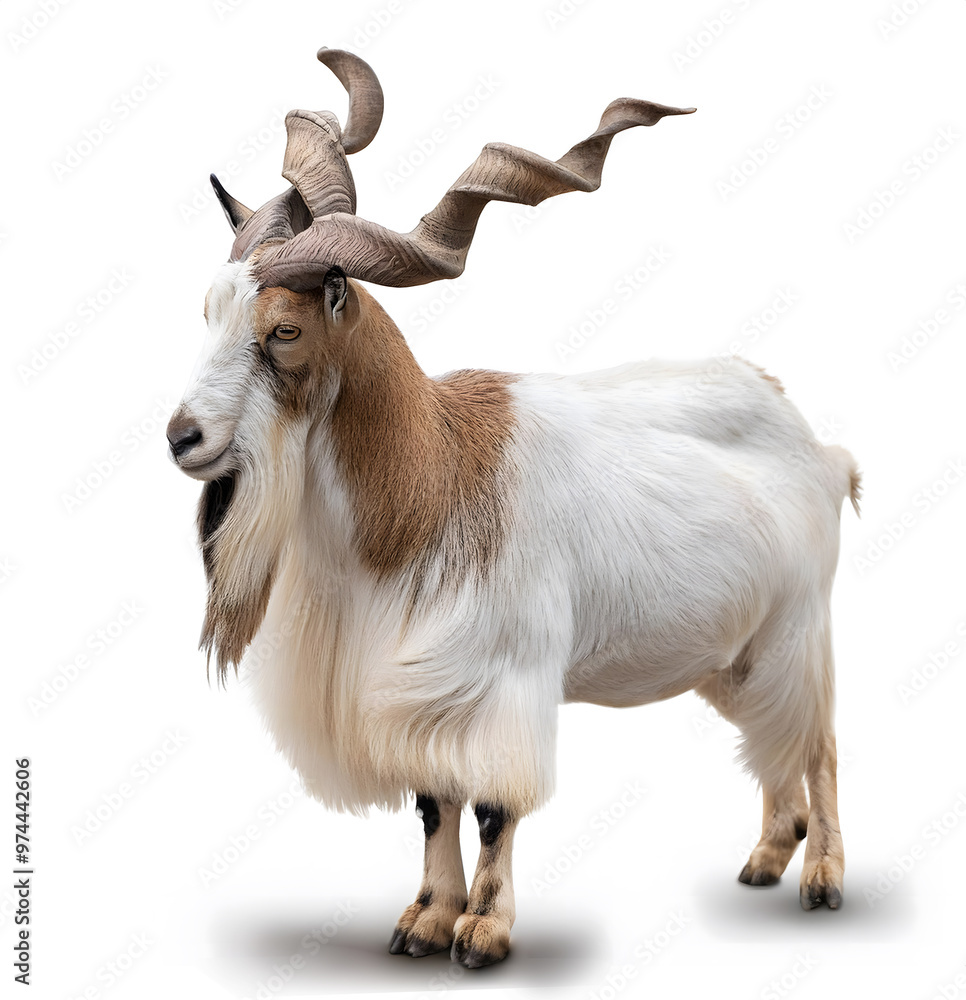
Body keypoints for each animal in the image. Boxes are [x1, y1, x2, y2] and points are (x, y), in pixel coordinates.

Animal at [167, 48, 859, 968]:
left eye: (283, 330)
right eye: (210, 313)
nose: (183, 437)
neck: (431, 477)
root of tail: (817, 446)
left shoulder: (502, 684)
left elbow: (495, 808)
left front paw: (483, 932)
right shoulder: (414, 689)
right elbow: (434, 804)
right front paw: (424, 920)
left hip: (797, 628)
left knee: (817, 744)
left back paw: (821, 879)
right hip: (732, 653)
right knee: (779, 748)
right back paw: (765, 859)